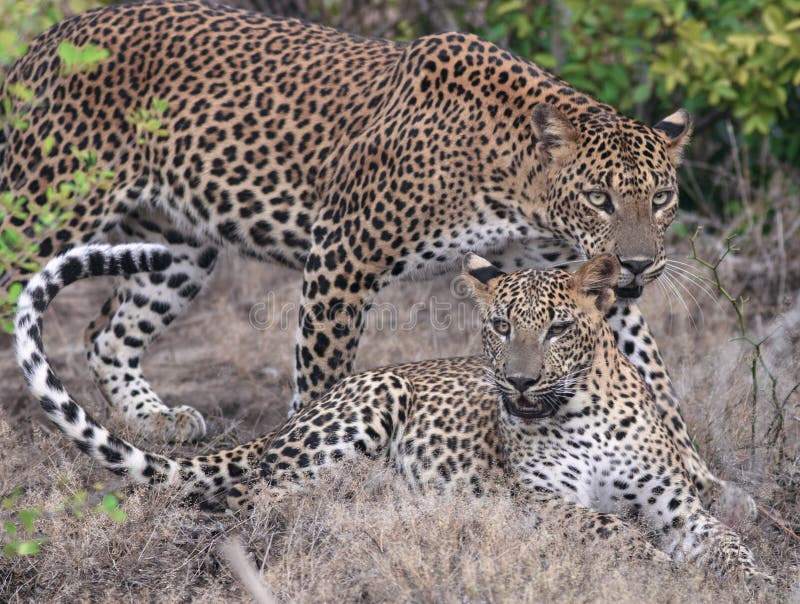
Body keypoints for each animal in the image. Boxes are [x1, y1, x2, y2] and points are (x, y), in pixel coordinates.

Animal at [0, 0, 748, 517]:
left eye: (660, 197)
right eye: (599, 197)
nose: (639, 266)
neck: (520, 186)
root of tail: (42, 44)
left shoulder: (575, 279)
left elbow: (652, 372)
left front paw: (696, 473)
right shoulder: (344, 252)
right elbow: (321, 379)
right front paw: (313, 468)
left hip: (179, 245)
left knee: (107, 332)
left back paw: (155, 418)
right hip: (43, 209)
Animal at [14, 242, 771, 582]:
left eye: (558, 329)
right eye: (500, 326)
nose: (519, 383)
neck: (580, 410)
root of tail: (287, 423)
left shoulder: (676, 503)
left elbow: (726, 542)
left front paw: (751, 579)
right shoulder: (538, 502)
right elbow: (610, 528)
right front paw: (658, 566)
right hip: (369, 405)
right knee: (259, 492)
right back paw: (378, 502)